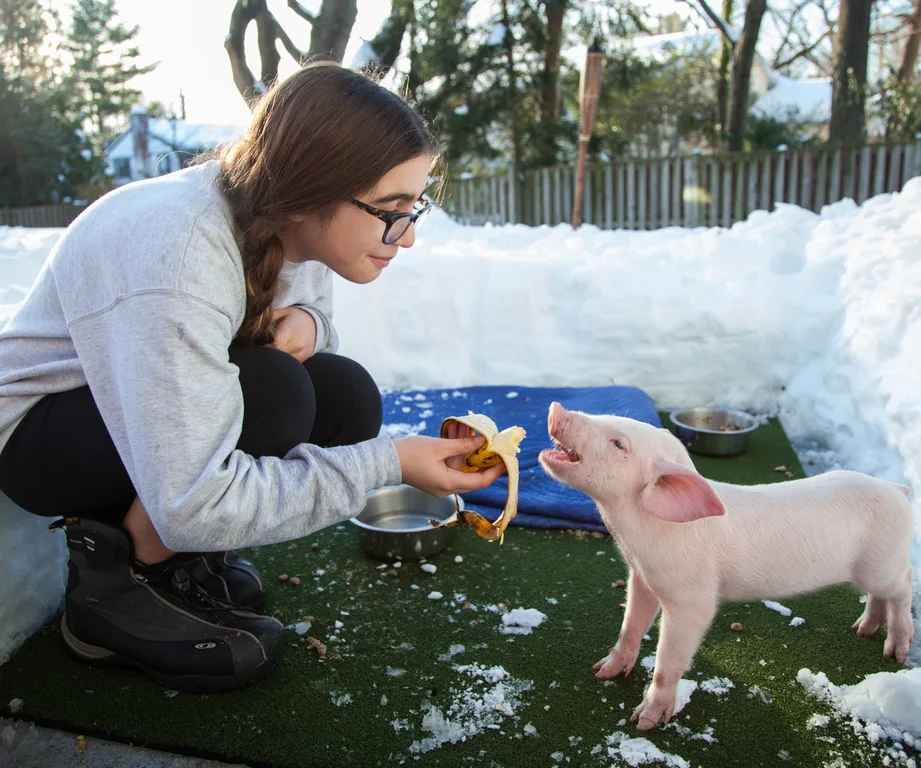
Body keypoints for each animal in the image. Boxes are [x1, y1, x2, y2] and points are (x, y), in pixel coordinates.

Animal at [538, 402, 914, 732]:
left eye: (619, 443)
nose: (556, 408)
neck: (639, 533)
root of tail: (895, 488)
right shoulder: (643, 577)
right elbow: (630, 626)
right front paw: (603, 671)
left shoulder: (692, 598)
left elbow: (668, 660)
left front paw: (644, 721)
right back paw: (862, 629)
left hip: (882, 564)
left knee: (905, 585)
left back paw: (896, 652)